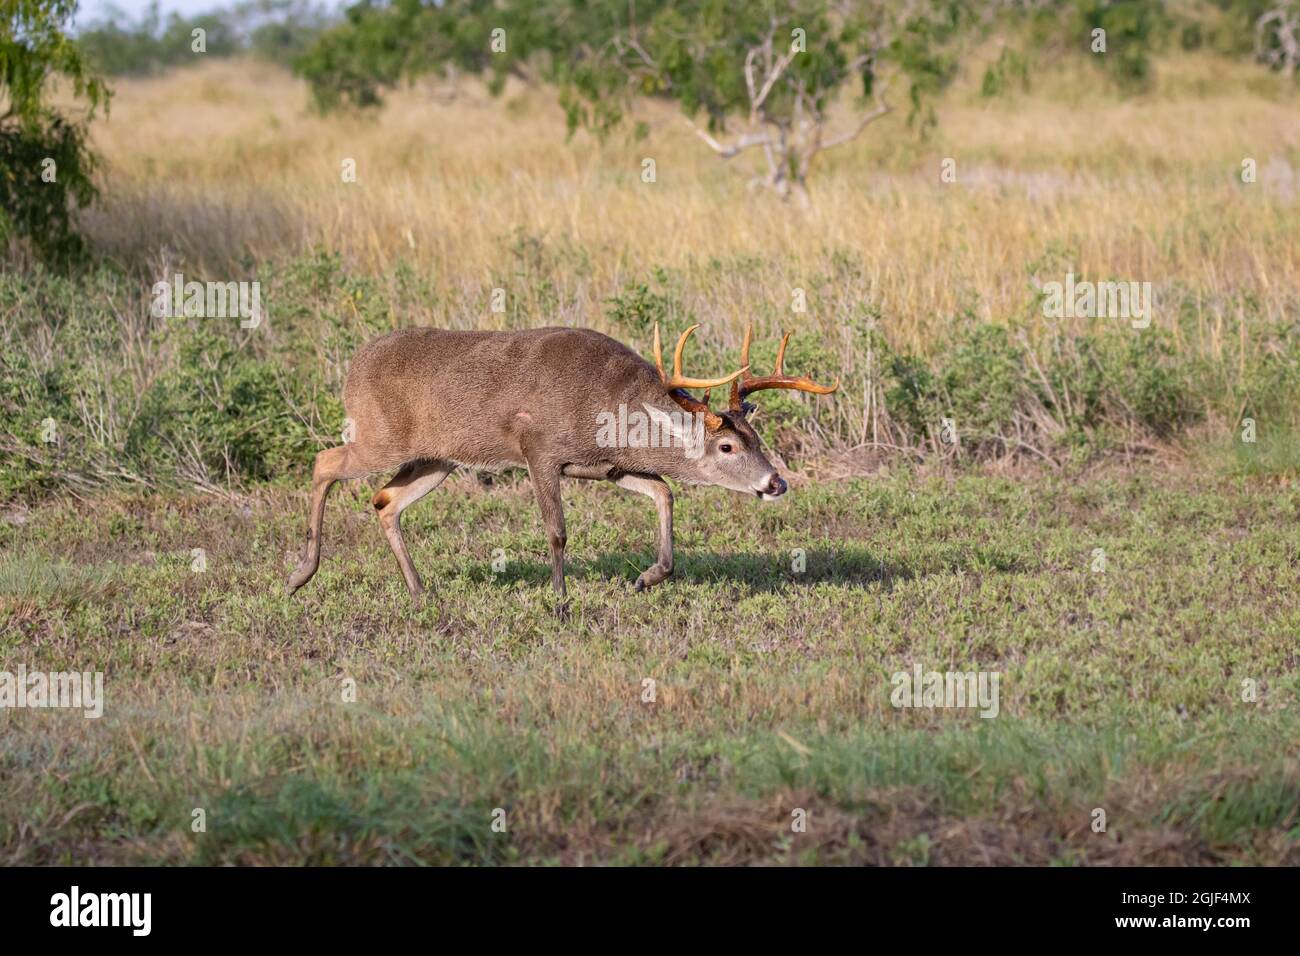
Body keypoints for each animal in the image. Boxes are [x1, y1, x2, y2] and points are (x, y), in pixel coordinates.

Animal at [285, 322, 838, 612]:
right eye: (725, 447)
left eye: (756, 439)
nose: (776, 482)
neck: (610, 411)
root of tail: (354, 365)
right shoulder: (540, 450)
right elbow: (556, 530)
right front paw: (560, 600)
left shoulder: (606, 467)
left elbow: (664, 491)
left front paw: (647, 577)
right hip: (379, 437)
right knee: (323, 463)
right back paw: (300, 574)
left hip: (435, 458)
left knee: (384, 501)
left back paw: (421, 594)